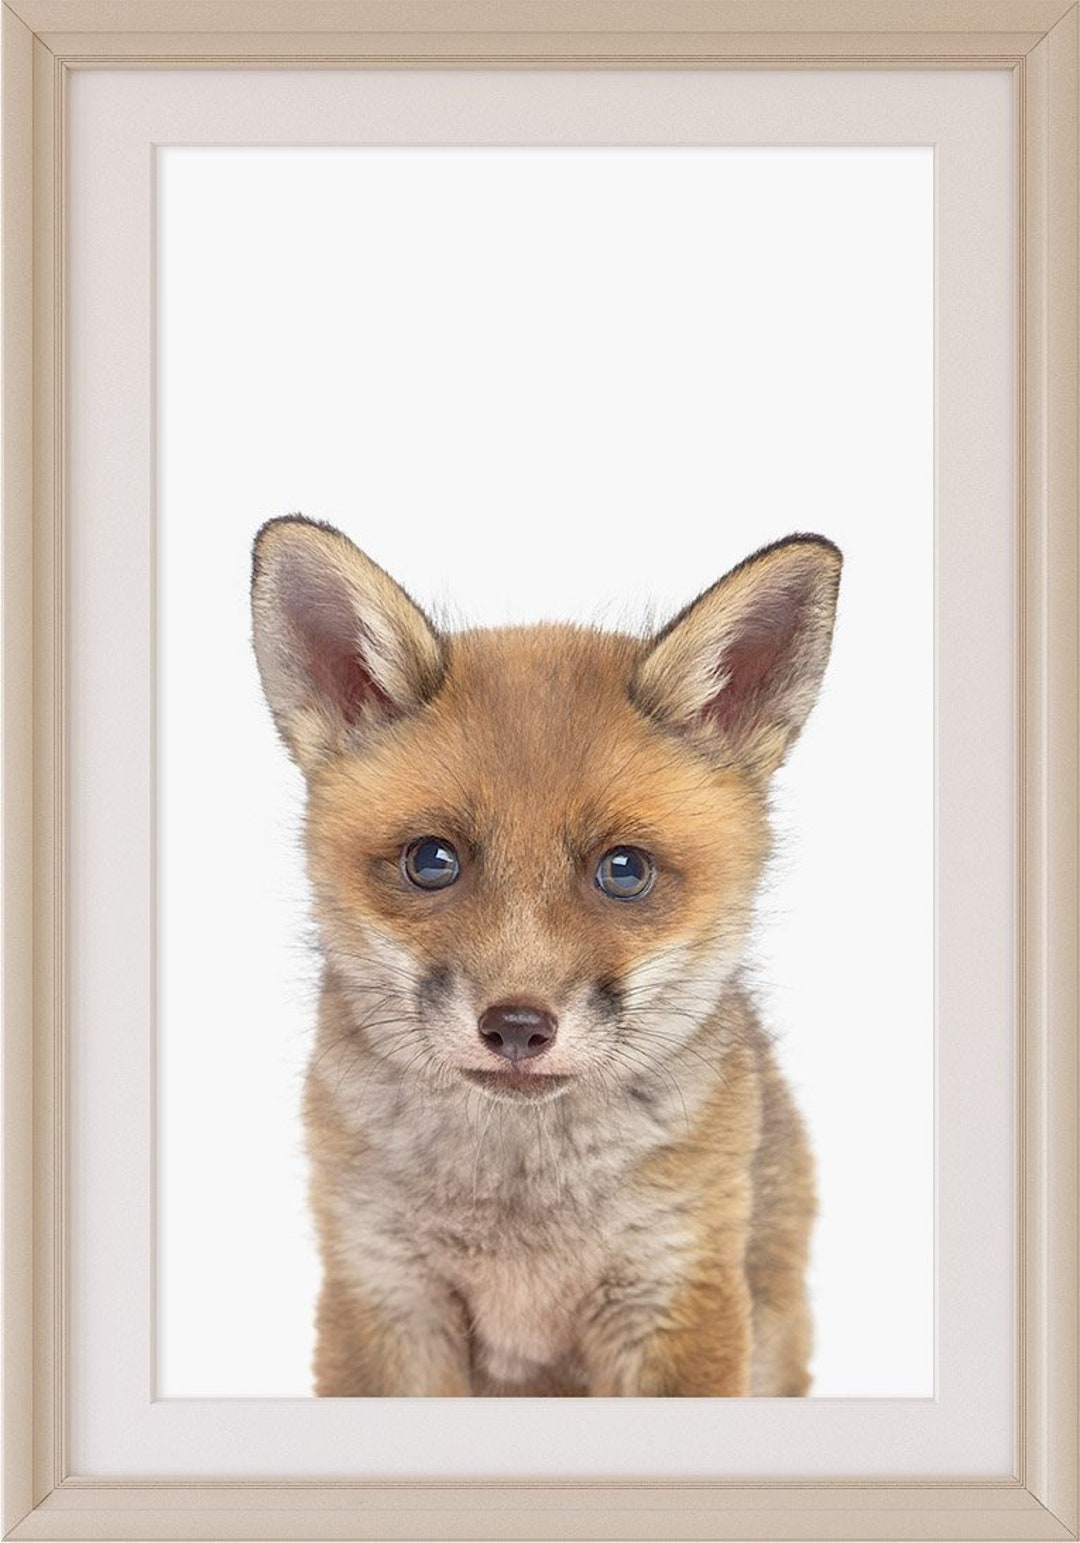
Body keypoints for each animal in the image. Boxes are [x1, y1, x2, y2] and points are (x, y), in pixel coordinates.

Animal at [250, 516, 841, 1398]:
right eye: (432, 861)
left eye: (624, 871)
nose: (519, 1027)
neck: (522, 1213)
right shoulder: (383, 1287)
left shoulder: (673, 1289)